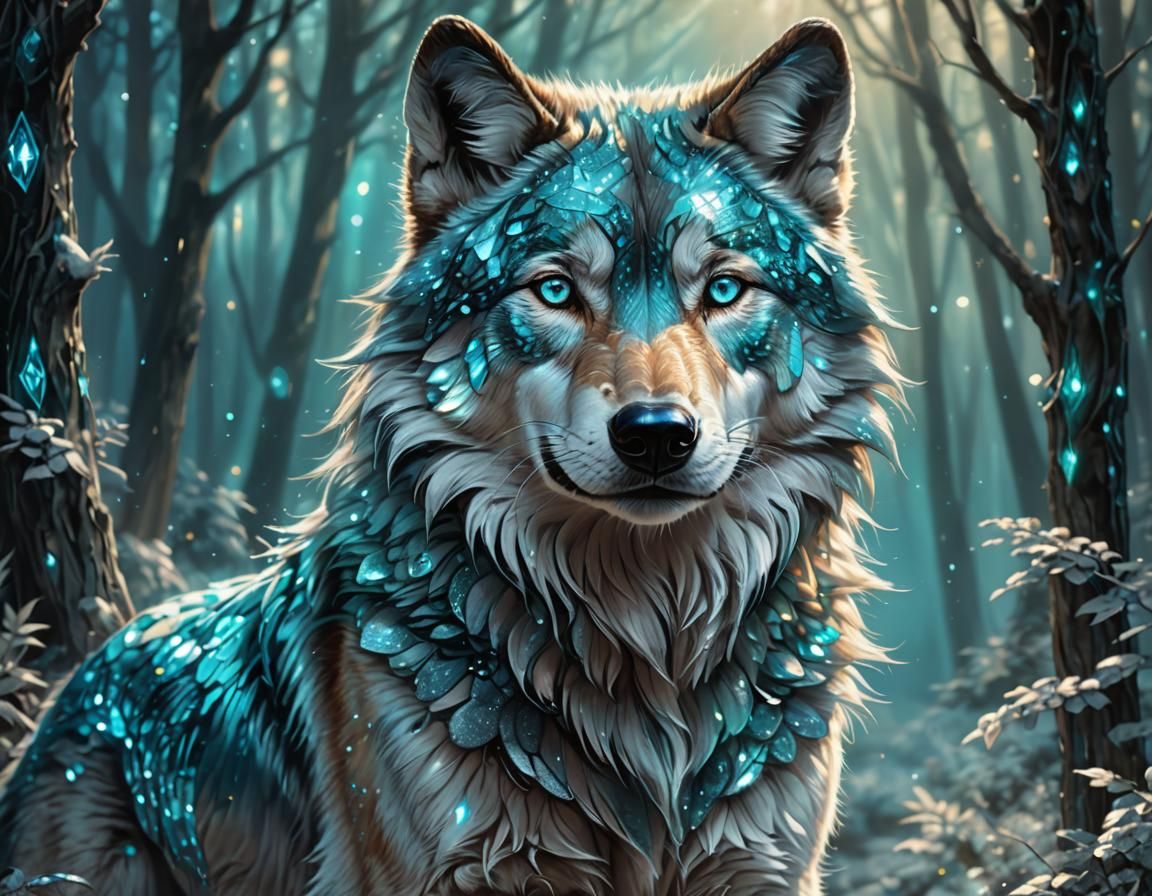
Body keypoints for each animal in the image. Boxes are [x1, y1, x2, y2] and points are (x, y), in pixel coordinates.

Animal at [0, 15, 901, 895]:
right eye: (555, 291)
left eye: (723, 290)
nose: (655, 433)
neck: (643, 646)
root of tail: (91, 667)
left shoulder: (765, 872)